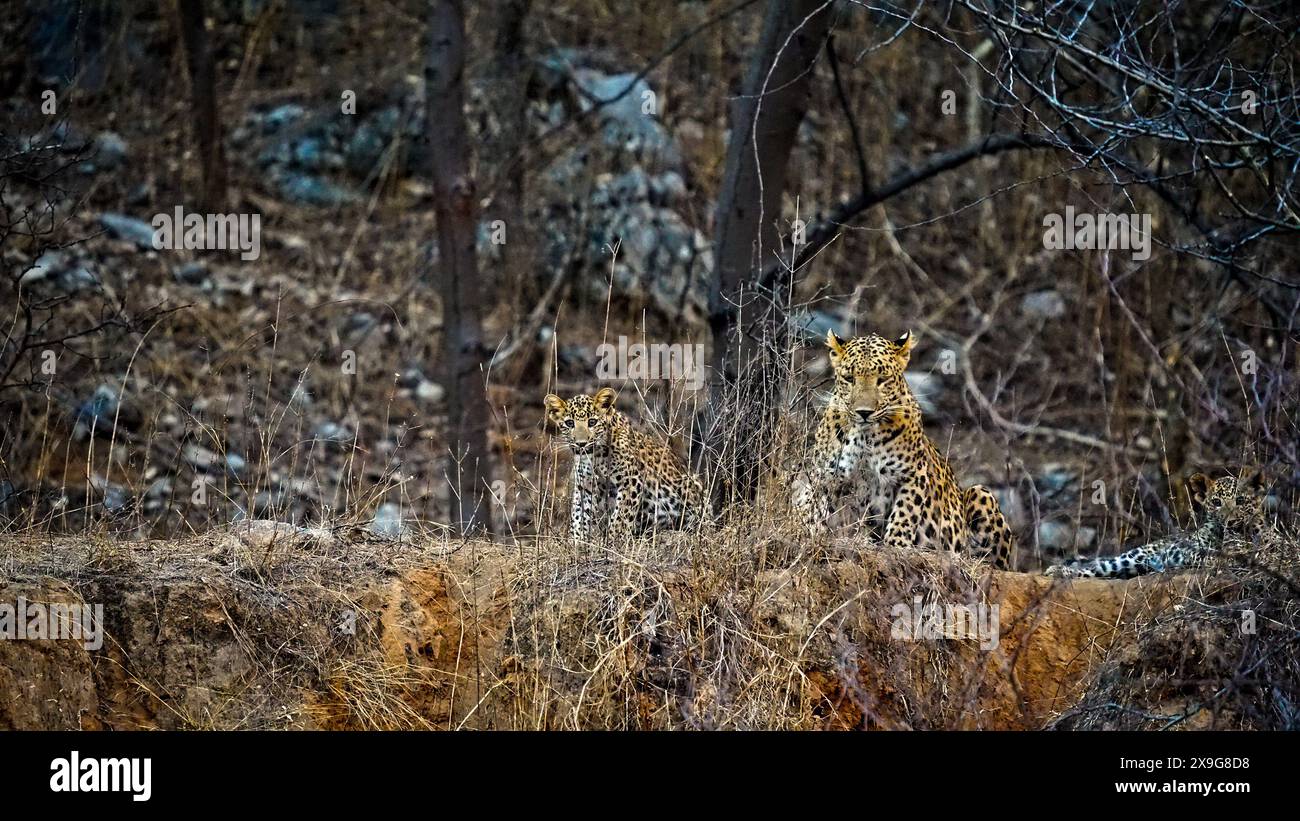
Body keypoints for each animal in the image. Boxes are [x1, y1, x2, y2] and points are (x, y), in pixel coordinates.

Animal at [544, 387, 709, 544]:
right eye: (569, 423)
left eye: (592, 422)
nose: (581, 443)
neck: (594, 456)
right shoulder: (585, 486)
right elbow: (579, 514)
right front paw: (577, 542)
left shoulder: (631, 481)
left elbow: (621, 517)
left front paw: (612, 542)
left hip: (690, 486)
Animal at [794, 329, 1016, 569]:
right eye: (849, 378)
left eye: (882, 379)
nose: (864, 412)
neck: (865, 437)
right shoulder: (825, 476)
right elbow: (812, 507)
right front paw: (808, 531)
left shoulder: (913, 474)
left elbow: (906, 511)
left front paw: (897, 544)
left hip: (980, 493)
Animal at [1045, 472, 1267, 579]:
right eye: (1216, 502)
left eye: (1240, 500)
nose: (1232, 521)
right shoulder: (1182, 550)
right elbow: (1207, 554)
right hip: (1135, 556)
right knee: (1097, 566)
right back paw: (1058, 571)